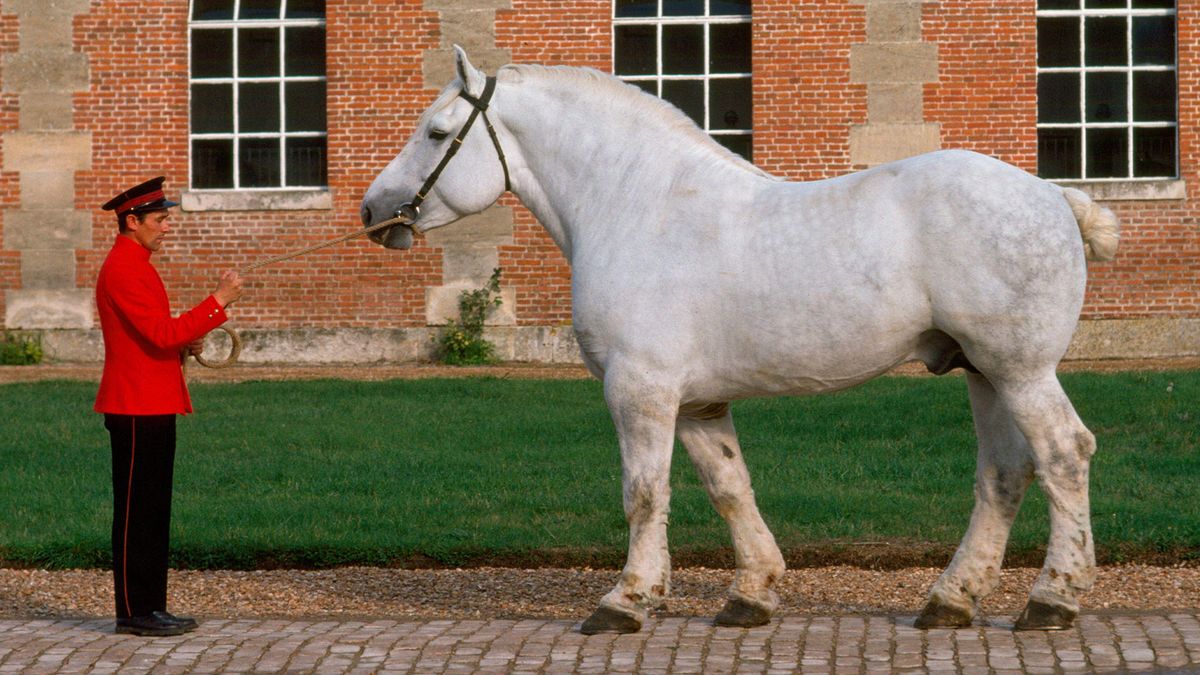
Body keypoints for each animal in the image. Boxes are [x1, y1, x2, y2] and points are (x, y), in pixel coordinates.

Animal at [361, 46, 1120, 634]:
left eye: (436, 133)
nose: (374, 210)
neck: (640, 206)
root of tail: (1055, 196)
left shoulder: (640, 389)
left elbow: (644, 493)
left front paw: (626, 601)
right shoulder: (697, 404)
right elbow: (729, 487)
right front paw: (750, 595)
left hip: (1020, 370)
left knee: (1063, 454)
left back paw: (1051, 599)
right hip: (983, 372)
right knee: (1003, 474)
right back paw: (950, 601)